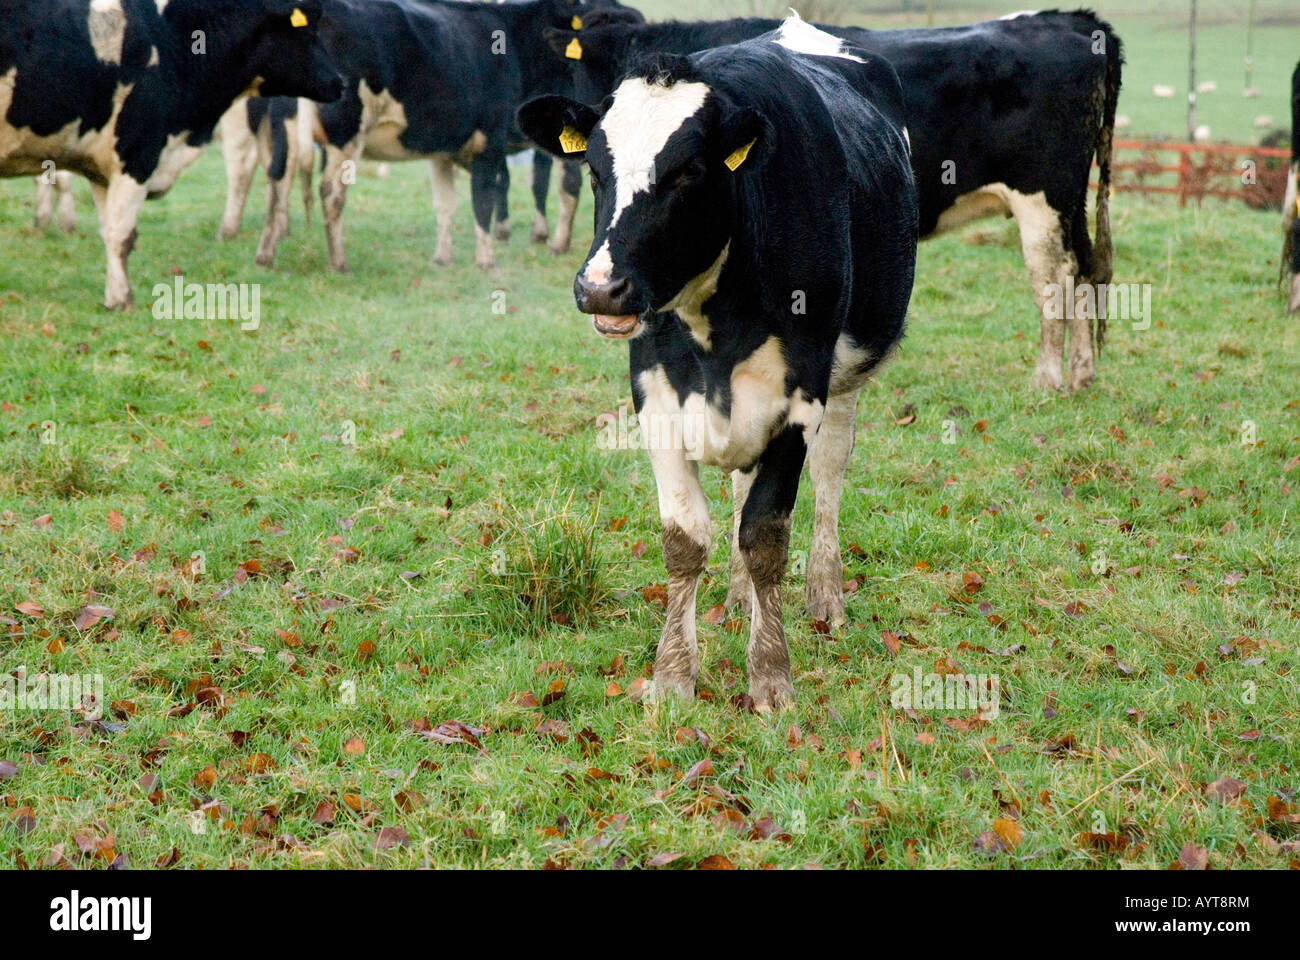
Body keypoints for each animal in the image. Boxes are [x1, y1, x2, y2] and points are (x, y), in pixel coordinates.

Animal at [310, 0, 628, 274]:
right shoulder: (488, 143)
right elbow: (483, 201)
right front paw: (486, 260)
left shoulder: (441, 150)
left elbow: (445, 204)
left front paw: (443, 258)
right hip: (345, 134)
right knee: (332, 193)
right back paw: (339, 261)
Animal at [518, 15, 918, 710]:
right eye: (594, 169)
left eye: (687, 173)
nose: (600, 288)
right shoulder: (654, 396)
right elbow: (686, 538)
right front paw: (673, 676)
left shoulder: (799, 398)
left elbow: (766, 534)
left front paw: (771, 677)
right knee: (737, 487)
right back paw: (735, 601)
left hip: (844, 380)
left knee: (831, 472)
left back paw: (824, 599)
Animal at [546, 10, 1123, 394]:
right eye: (596, 166)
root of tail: (1070, 19)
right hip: (1070, 204)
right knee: (1085, 269)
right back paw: (1083, 373)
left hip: (1043, 199)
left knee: (1053, 277)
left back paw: (1048, 378)